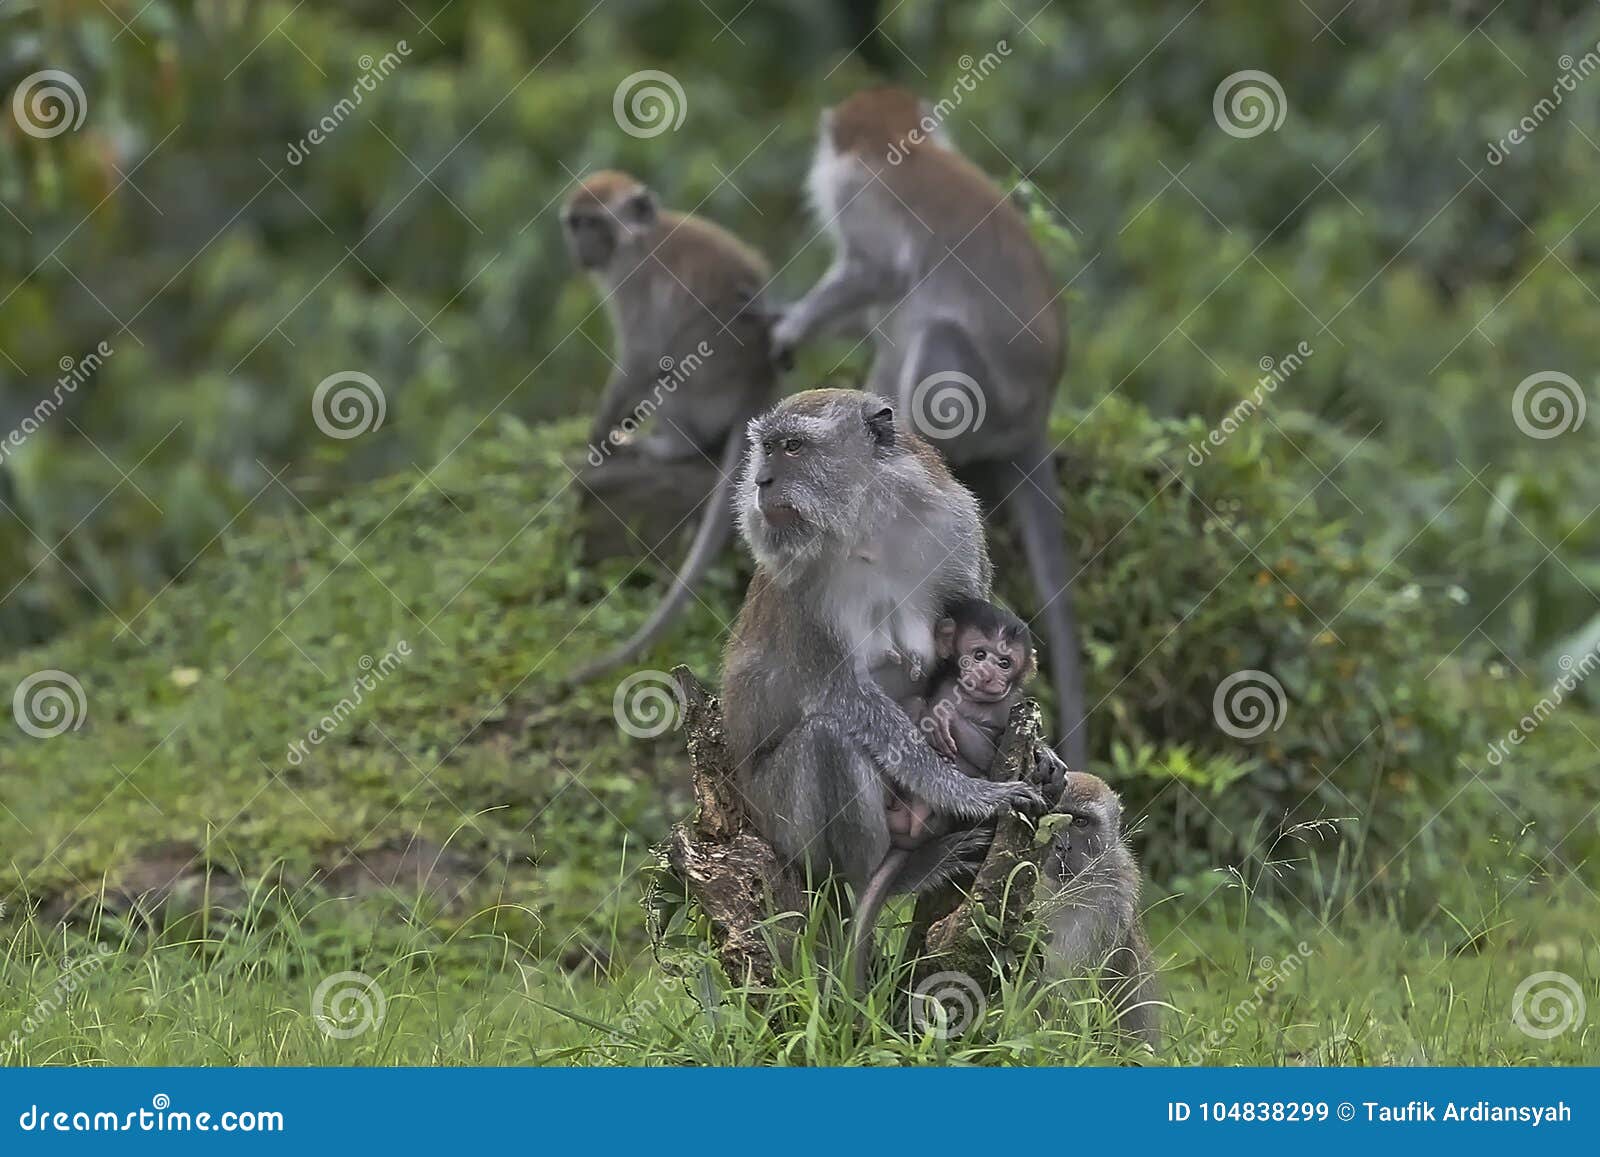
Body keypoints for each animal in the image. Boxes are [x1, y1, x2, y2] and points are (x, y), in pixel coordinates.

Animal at [562, 171, 782, 684]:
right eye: (575, 223)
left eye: (592, 223)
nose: (581, 247)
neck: (638, 236)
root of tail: (756, 383)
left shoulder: (631, 277)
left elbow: (640, 357)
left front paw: (598, 440)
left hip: (699, 401)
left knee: (665, 370)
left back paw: (671, 447)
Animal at [720, 389, 1047, 953]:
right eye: (767, 448)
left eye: (792, 447)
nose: (760, 481)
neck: (867, 523)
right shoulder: (799, 586)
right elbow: (845, 698)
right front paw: (972, 796)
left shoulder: (957, 526)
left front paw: (1042, 752)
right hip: (774, 820)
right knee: (827, 739)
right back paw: (890, 874)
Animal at [770, 87, 1089, 769]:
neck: (901, 143)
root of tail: (1035, 418)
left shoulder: (856, 195)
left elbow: (875, 274)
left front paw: (792, 324)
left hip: (987, 407)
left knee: (934, 332)